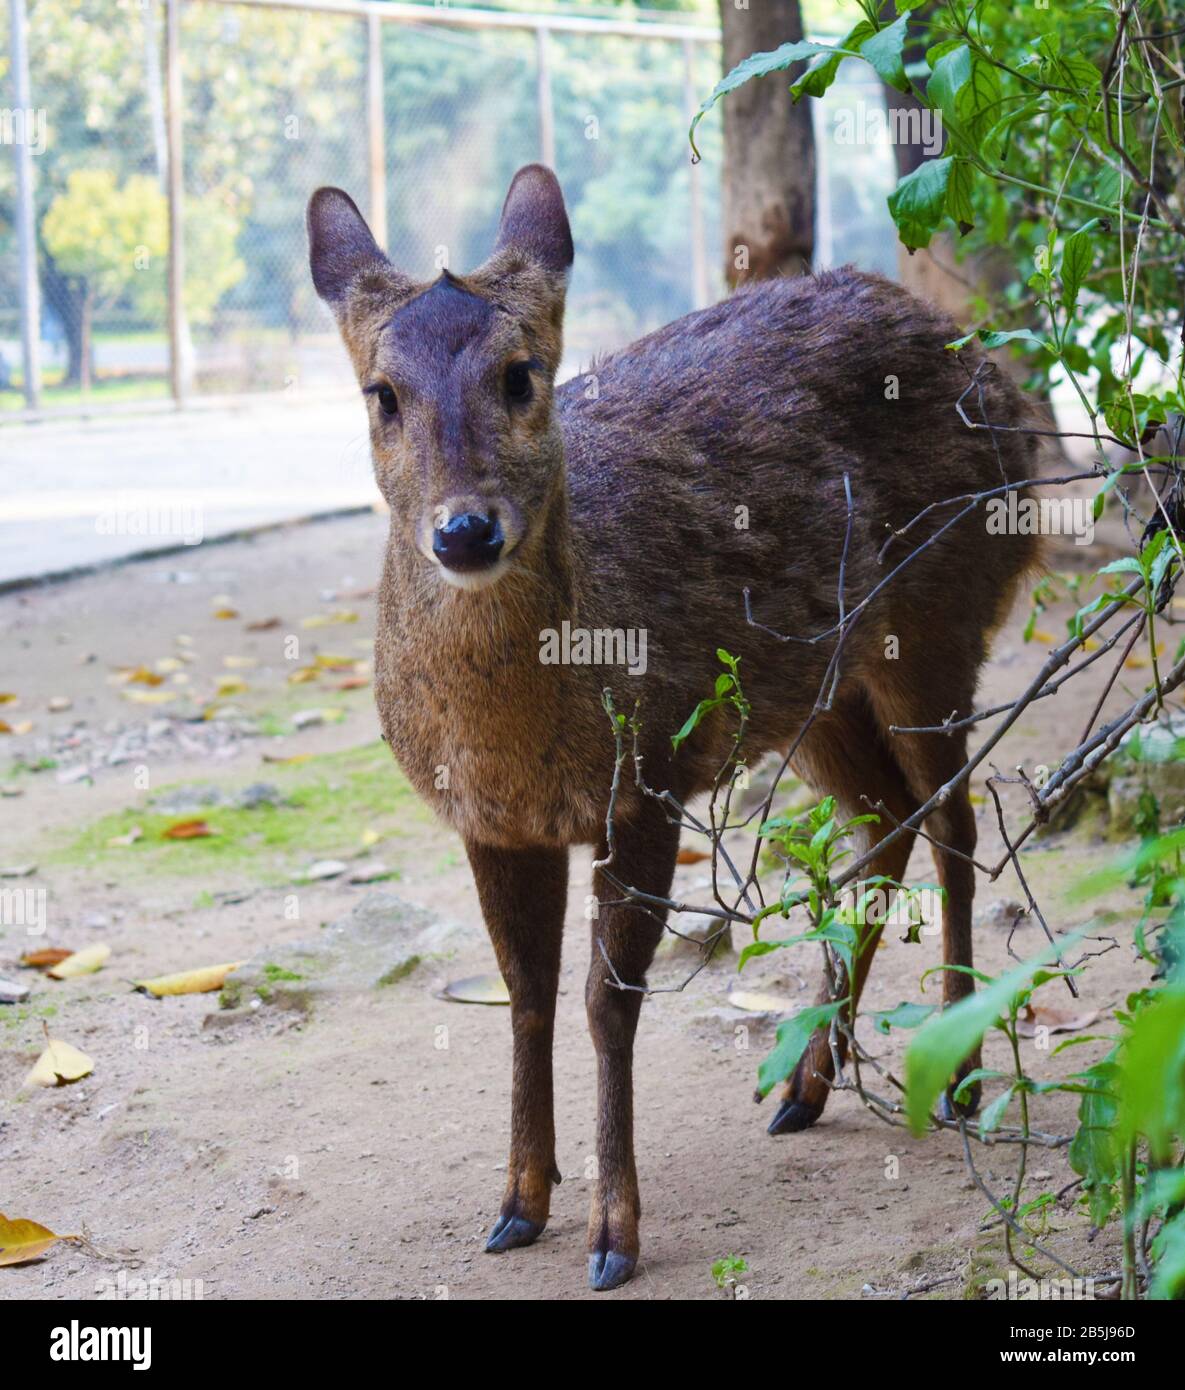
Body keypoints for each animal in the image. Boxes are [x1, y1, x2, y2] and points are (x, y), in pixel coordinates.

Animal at [307, 165, 1039, 1291]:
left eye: (521, 375)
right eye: (381, 393)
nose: (465, 531)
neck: (523, 732)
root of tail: (1008, 393)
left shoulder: (644, 779)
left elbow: (608, 1001)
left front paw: (614, 1233)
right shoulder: (491, 821)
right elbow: (524, 991)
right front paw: (518, 1202)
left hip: (936, 621)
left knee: (956, 825)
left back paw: (956, 1076)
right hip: (814, 690)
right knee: (886, 819)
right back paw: (805, 1087)